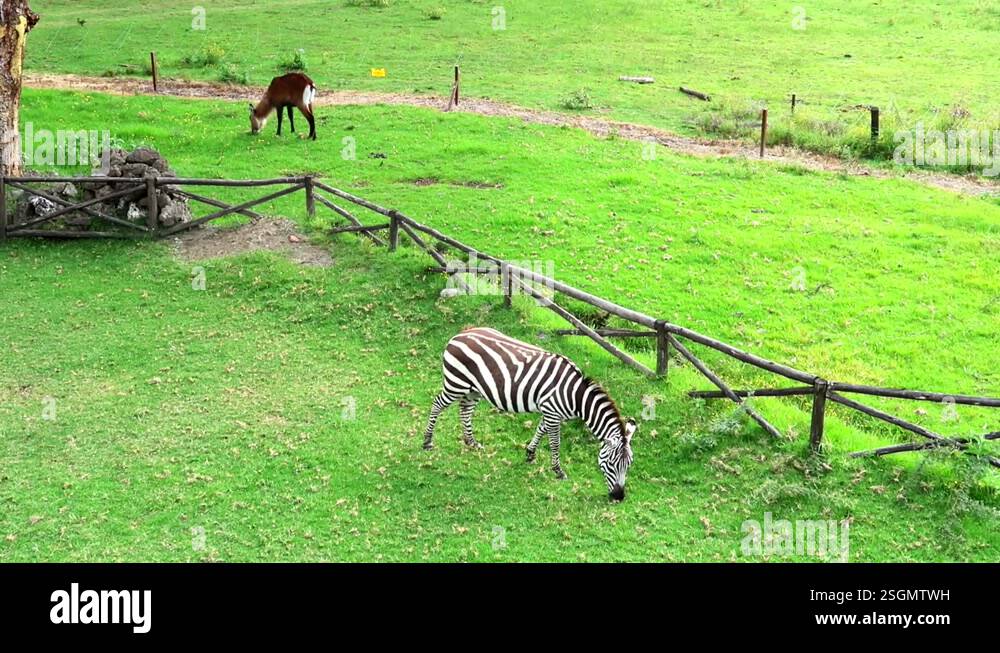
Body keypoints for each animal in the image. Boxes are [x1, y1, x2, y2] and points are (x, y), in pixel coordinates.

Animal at [422, 327, 637, 501]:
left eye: (629, 464)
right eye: (611, 464)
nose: (619, 497)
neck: (575, 396)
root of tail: (462, 333)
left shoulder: (549, 411)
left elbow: (540, 429)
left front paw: (530, 453)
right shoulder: (552, 413)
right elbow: (555, 443)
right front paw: (558, 471)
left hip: (473, 389)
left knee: (465, 409)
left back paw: (471, 442)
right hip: (456, 383)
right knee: (437, 404)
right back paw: (427, 441)